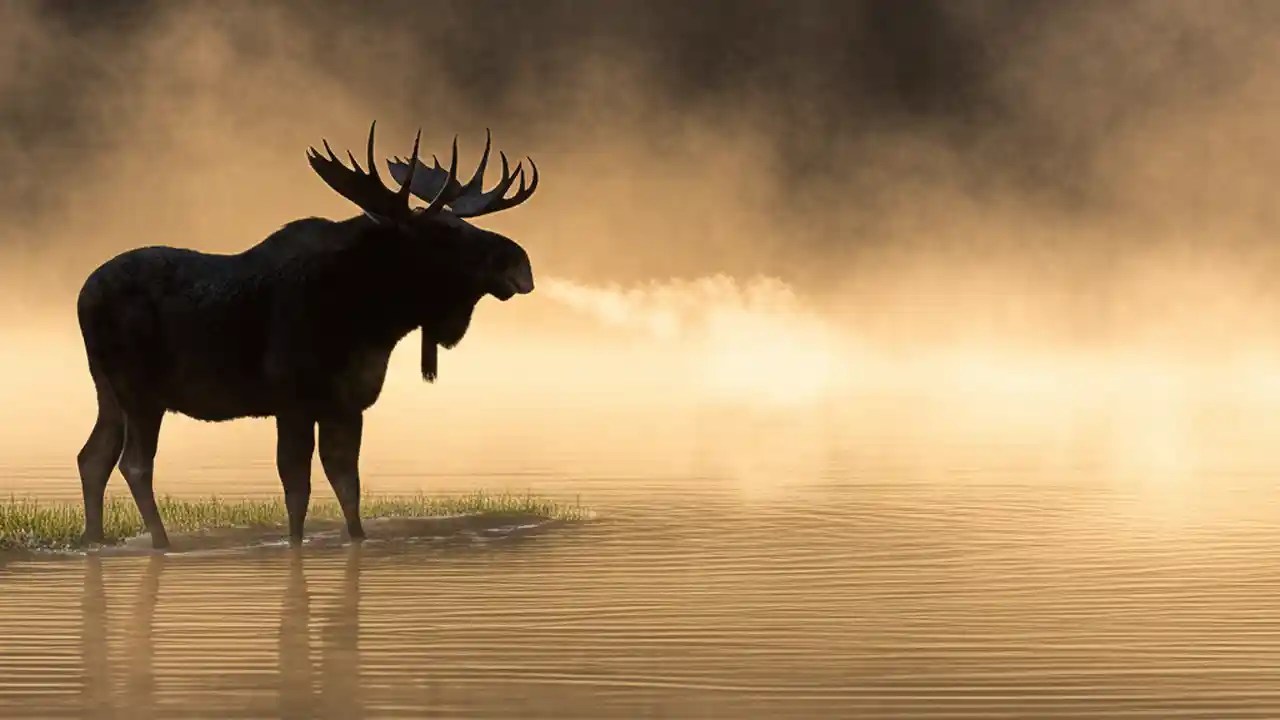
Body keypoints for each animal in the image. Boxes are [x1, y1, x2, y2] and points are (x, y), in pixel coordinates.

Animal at [75, 122, 539, 550]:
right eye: (442, 233)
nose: (521, 262)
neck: (373, 319)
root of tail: (81, 295)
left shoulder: (348, 404)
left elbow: (347, 484)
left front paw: (357, 540)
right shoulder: (293, 402)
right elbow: (297, 488)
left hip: (107, 391)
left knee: (92, 457)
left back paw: (94, 540)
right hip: (140, 392)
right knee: (134, 464)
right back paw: (161, 543)